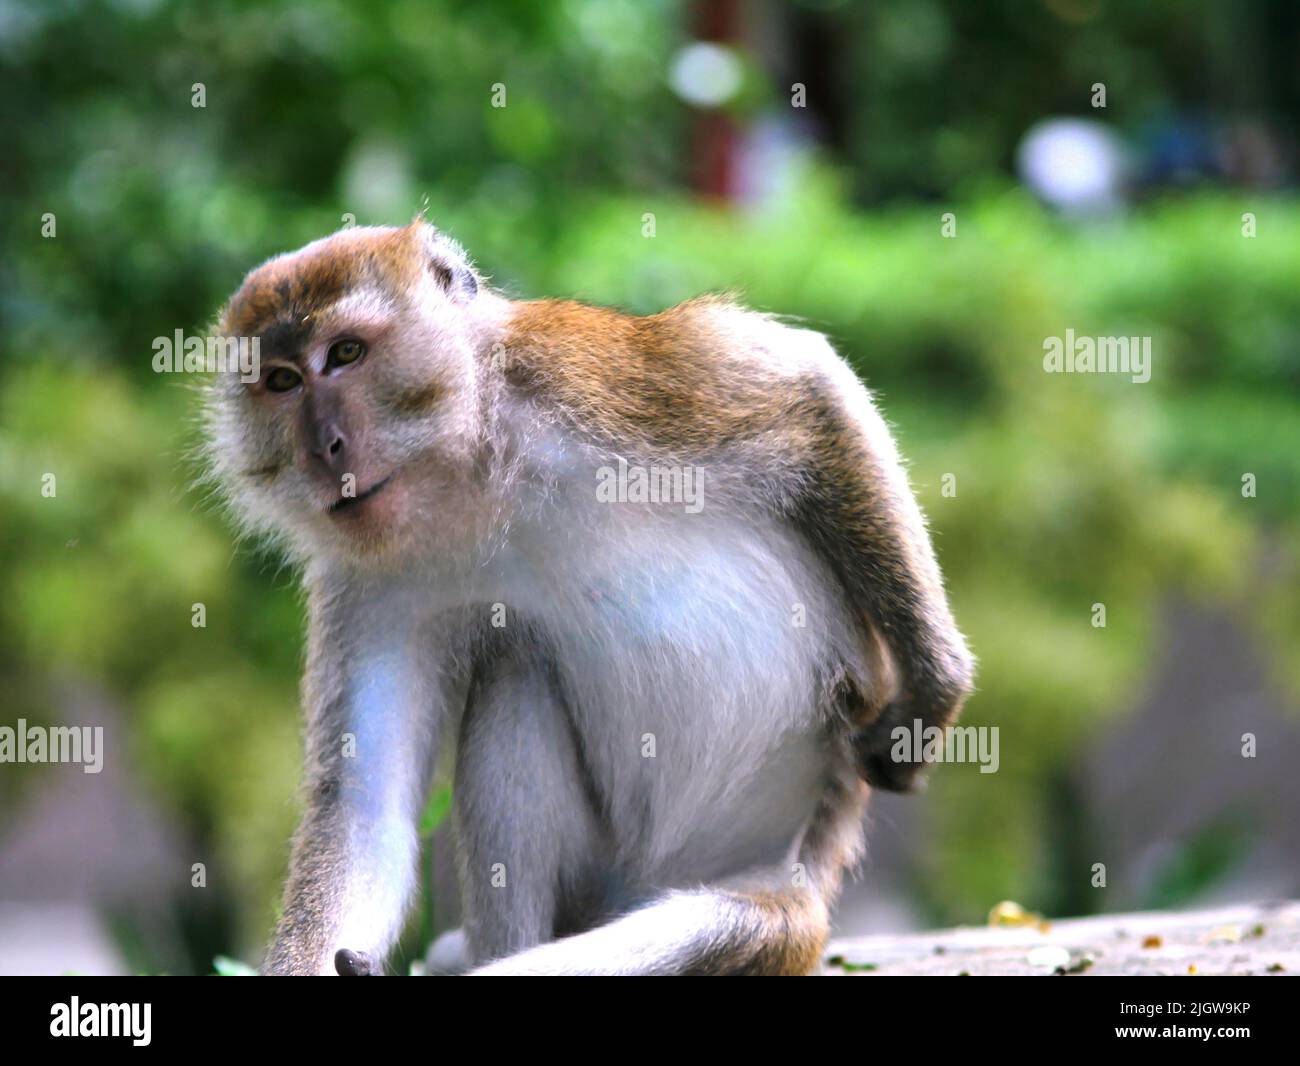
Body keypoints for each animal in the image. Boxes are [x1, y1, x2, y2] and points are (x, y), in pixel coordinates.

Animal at [204, 219, 974, 976]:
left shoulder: (575, 376)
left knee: (747, 924)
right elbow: (367, 811)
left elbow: (808, 391)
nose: (324, 448)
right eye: (281, 381)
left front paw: (931, 689)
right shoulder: (366, 581)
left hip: (775, 878)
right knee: (518, 678)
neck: (471, 478)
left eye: (346, 353)